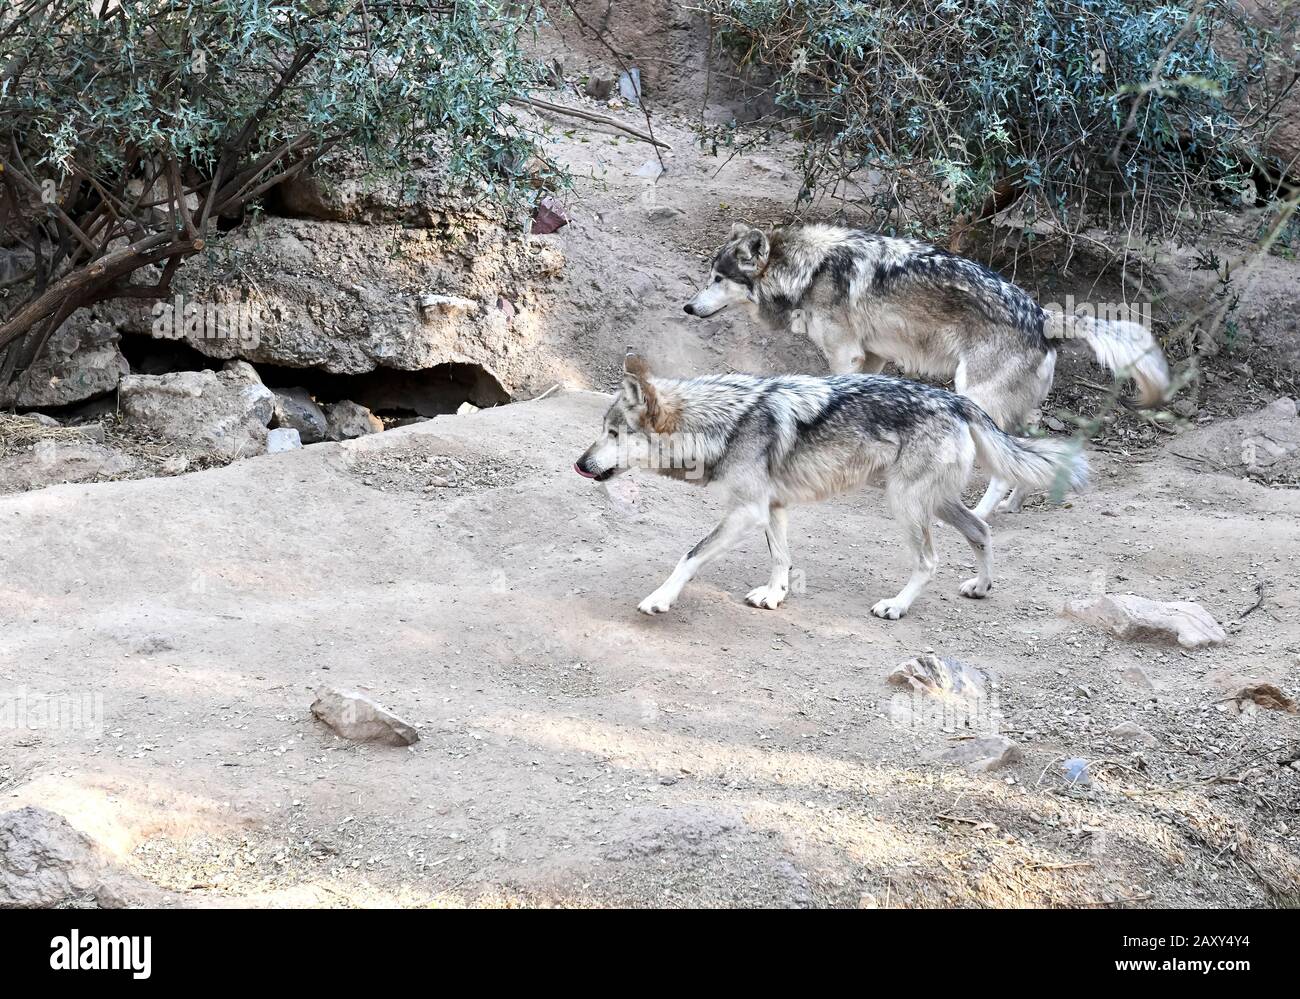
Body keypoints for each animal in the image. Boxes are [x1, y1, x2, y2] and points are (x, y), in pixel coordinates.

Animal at [574, 353, 1088, 620]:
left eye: (614, 434)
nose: (579, 463)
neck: (723, 424)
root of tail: (958, 401)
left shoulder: (746, 511)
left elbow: (689, 556)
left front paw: (660, 598)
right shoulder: (772, 508)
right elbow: (780, 557)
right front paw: (774, 596)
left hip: (905, 503)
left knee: (929, 560)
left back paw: (896, 606)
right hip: (935, 502)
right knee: (981, 531)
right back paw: (981, 587)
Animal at [683, 223, 1167, 518]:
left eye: (718, 279)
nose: (687, 307)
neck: (808, 268)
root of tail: (1042, 315)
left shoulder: (846, 356)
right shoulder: (873, 359)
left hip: (973, 396)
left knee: (999, 465)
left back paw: (981, 512)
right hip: (1009, 409)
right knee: (1027, 450)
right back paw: (1013, 504)